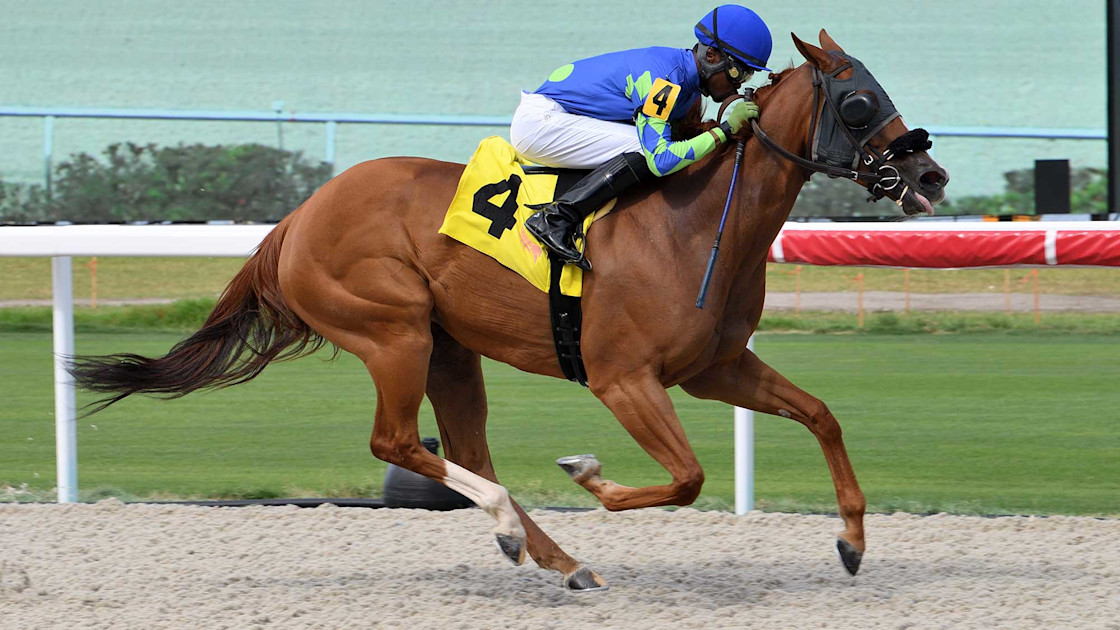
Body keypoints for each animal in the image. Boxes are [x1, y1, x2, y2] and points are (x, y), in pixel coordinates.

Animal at [71, 30, 948, 592]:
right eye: (860, 101)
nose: (931, 176)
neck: (696, 223)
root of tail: (297, 218)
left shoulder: (715, 367)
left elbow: (821, 415)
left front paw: (852, 540)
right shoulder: (623, 378)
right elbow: (688, 477)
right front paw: (590, 475)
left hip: (450, 347)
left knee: (466, 449)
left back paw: (556, 558)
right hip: (393, 330)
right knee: (398, 441)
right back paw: (509, 527)